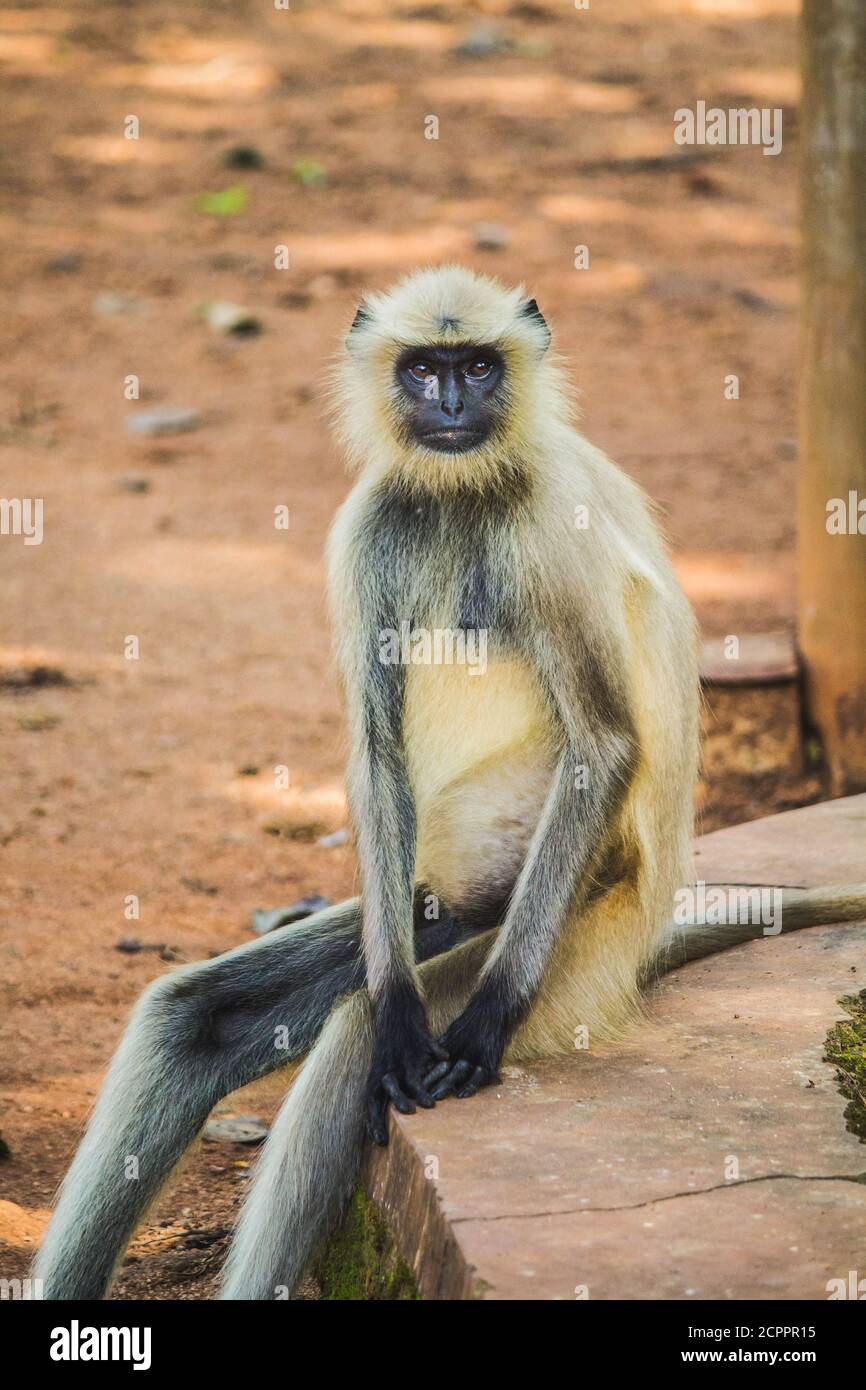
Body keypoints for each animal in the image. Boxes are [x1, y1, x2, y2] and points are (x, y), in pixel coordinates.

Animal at [32, 266, 866, 1302]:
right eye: (425, 369)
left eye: (476, 366)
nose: (456, 405)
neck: (464, 491)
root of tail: (636, 940)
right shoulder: (370, 522)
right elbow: (378, 754)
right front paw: (398, 1011)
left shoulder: (545, 525)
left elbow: (602, 743)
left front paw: (480, 1024)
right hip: (439, 908)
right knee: (201, 1018)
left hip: (572, 953)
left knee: (351, 1040)